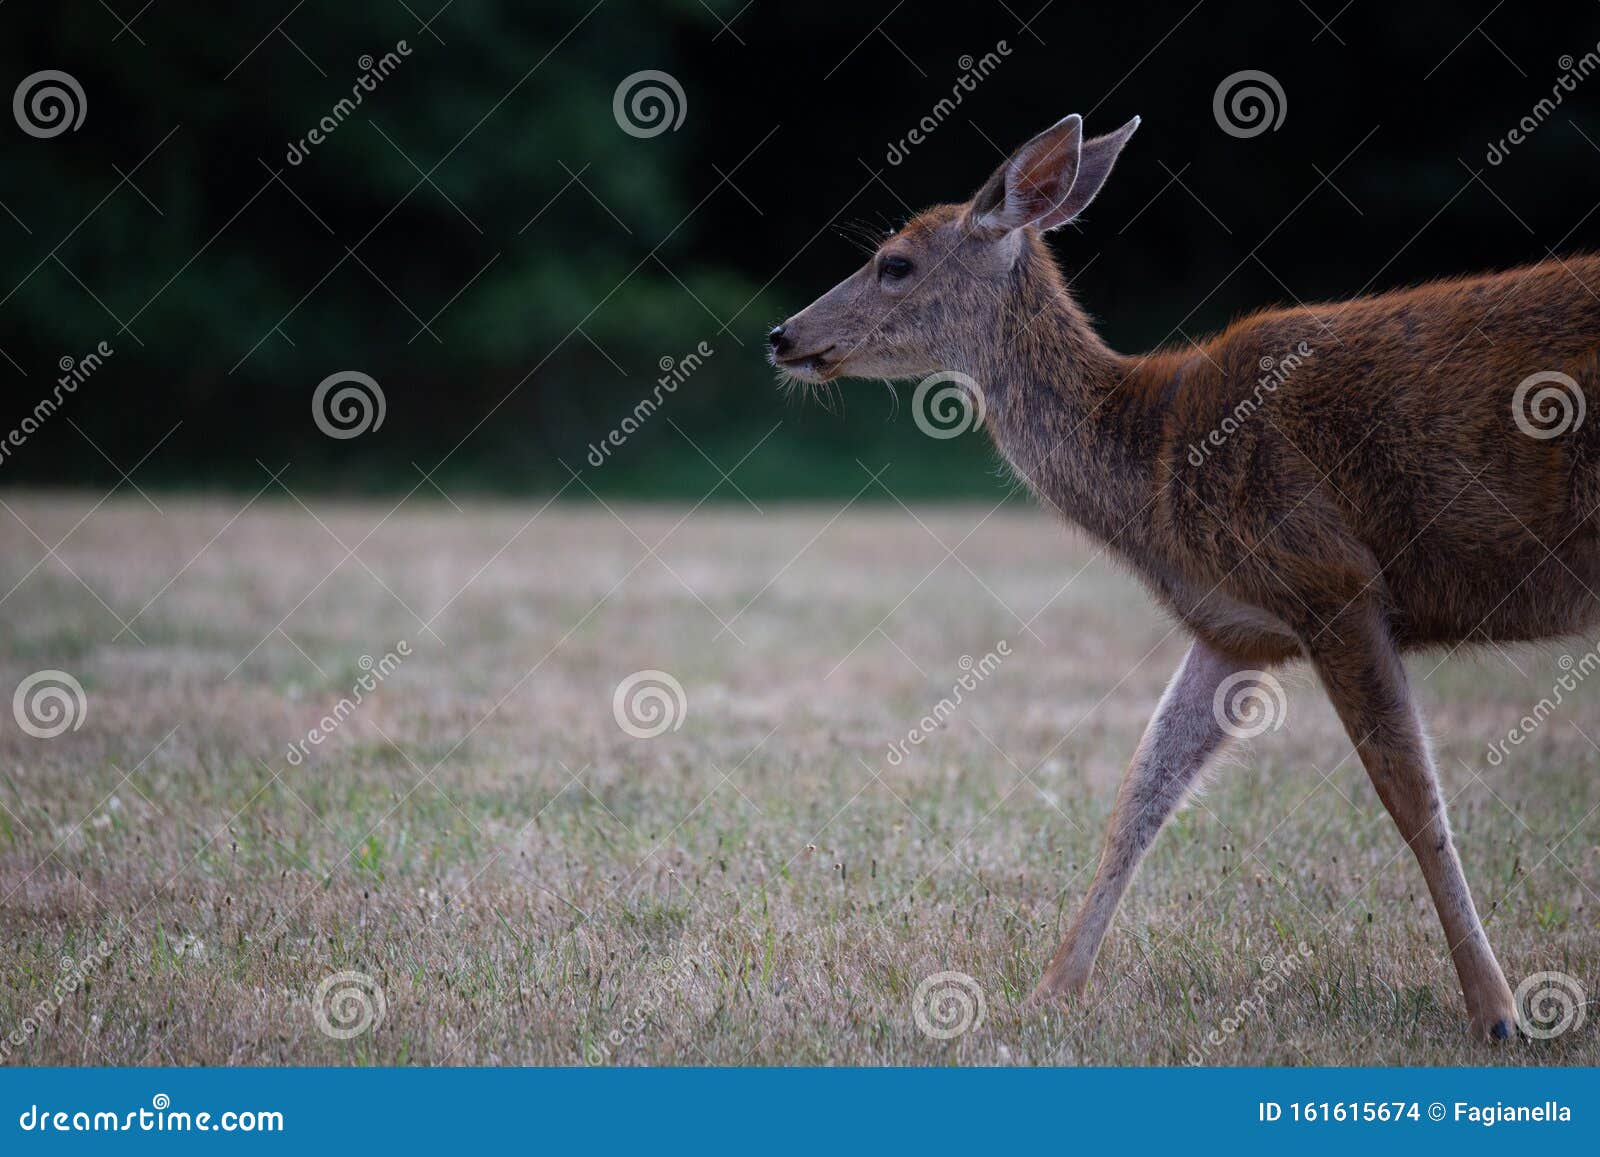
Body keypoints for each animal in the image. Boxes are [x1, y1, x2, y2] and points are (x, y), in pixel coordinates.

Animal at [767, 112, 1600, 1041]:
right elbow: (1139, 797)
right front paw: (1052, 990)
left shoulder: (1329, 576)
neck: (1160, 458)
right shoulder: (1233, 626)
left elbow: (1414, 800)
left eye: (895, 261)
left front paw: (1497, 1010)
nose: (783, 335)